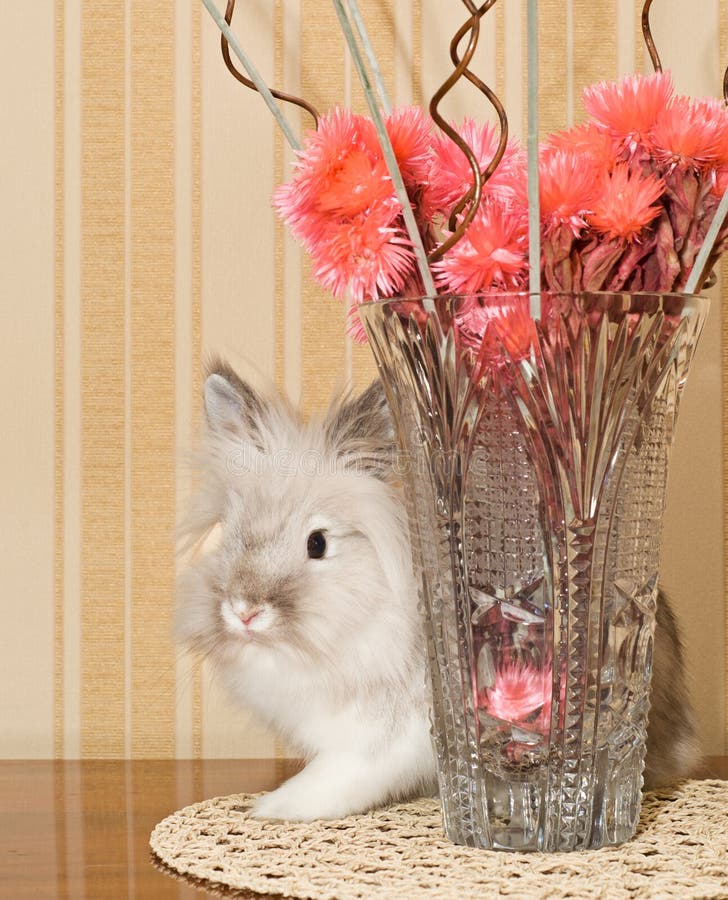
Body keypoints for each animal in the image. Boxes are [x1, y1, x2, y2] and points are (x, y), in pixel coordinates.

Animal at [176, 359, 701, 822]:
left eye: (317, 543)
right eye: (230, 531)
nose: (244, 610)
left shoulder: (384, 734)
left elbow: (341, 773)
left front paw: (278, 808)